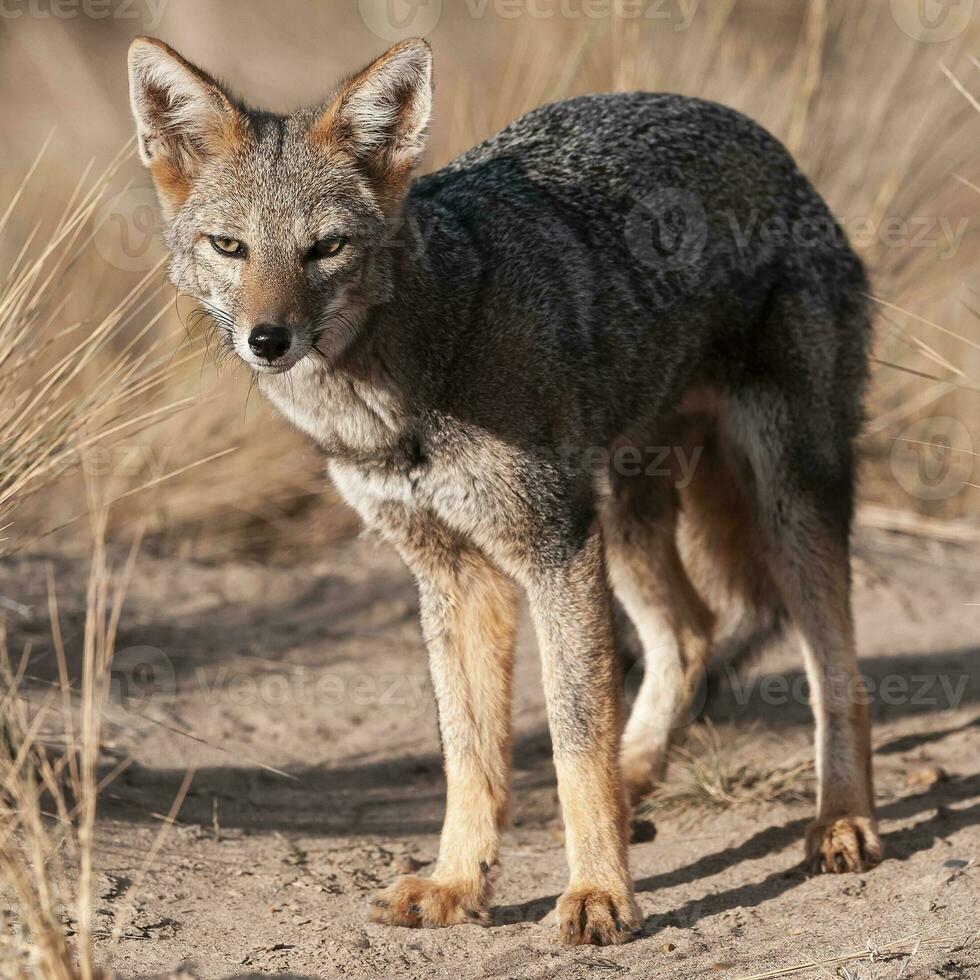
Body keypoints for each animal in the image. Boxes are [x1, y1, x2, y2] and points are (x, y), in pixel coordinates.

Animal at [127, 35, 882, 945]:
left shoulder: (552, 548)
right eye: (230, 246)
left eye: (326, 248)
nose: (268, 340)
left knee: (834, 669)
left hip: (782, 499)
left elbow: (572, 738)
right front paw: (458, 882)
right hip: (623, 520)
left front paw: (599, 894)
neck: (410, 384)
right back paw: (638, 782)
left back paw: (841, 820)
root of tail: (770, 145)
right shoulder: (456, 571)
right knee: (692, 633)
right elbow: (471, 749)